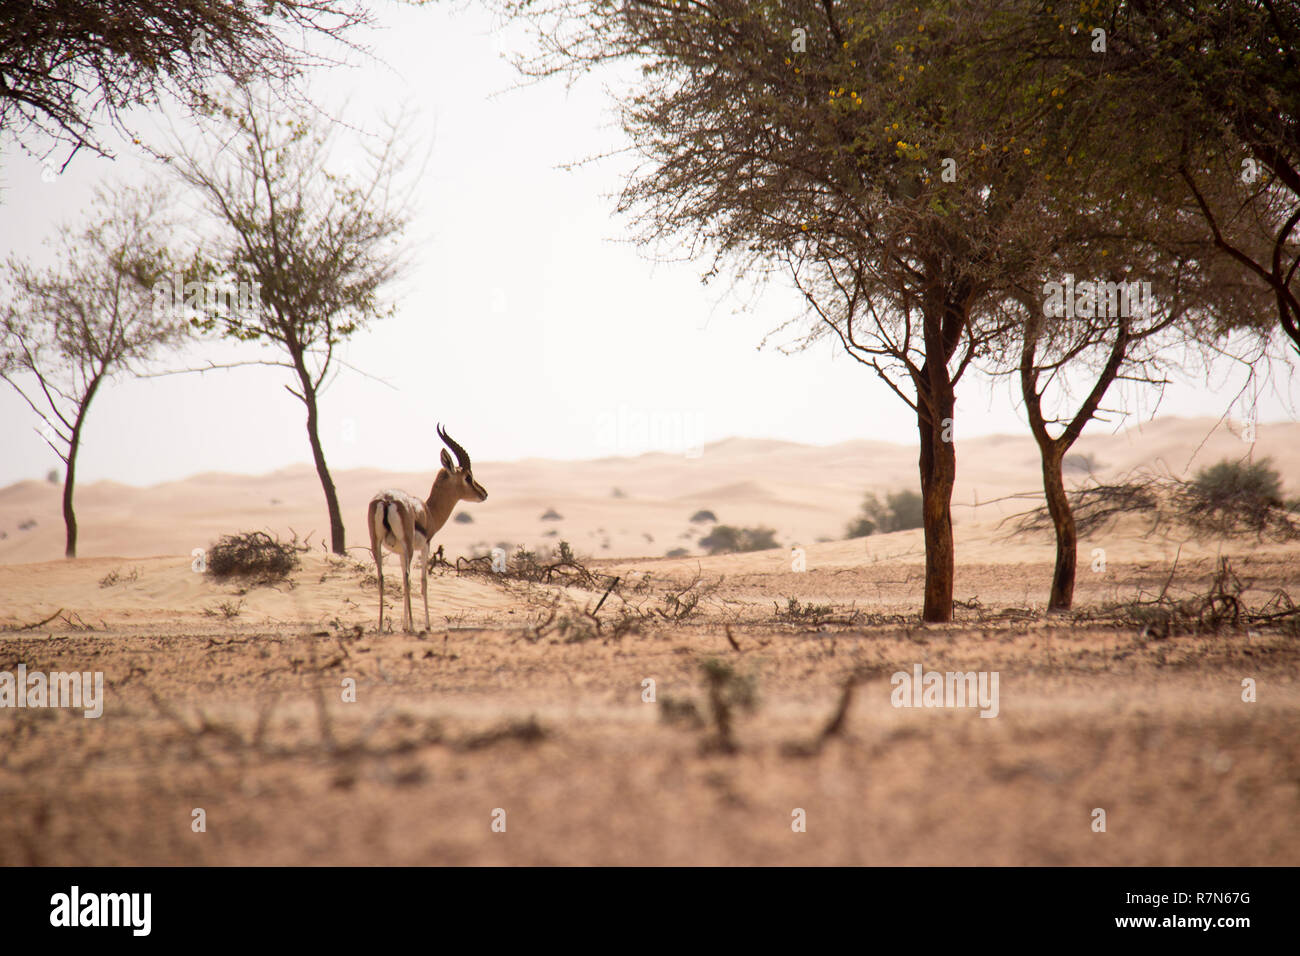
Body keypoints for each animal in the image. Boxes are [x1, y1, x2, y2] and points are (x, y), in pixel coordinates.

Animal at [367, 424, 488, 633]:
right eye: (468, 477)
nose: (483, 493)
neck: (428, 511)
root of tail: (387, 499)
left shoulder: (400, 552)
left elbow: (402, 580)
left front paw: (404, 625)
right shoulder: (425, 546)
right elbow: (423, 582)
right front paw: (426, 625)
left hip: (376, 543)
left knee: (382, 577)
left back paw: (382, 627)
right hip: (407, 545)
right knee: (409, 578)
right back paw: (413, 627)